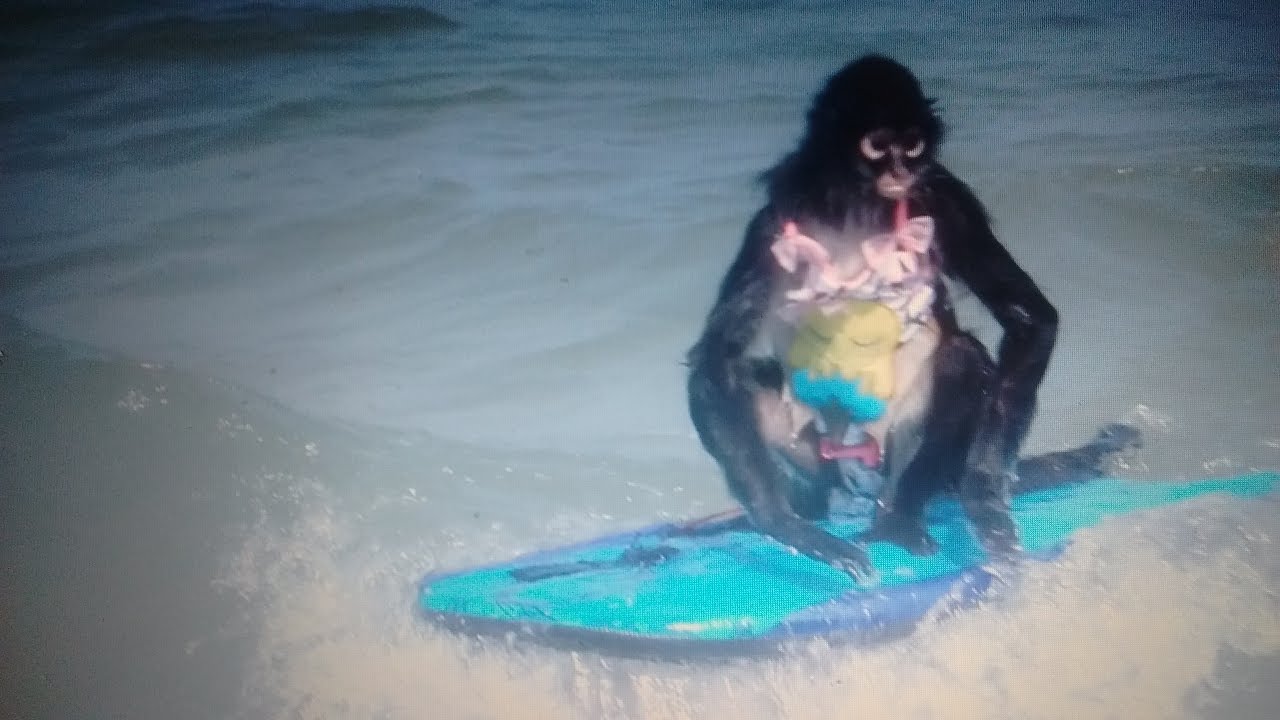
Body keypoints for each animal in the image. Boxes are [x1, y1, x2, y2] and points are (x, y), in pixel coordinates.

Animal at [686, 55, 1127, 580]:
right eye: (878, 145)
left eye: (913, 145)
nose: (900, 167)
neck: (862, 205)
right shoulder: (775, 219)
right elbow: (717, 356)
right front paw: (784, 526)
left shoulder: (945, 198)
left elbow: (1029, 317)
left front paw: (985, 502)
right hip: (820, 465)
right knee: (749, 375)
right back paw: (808, 513)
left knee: (962, 356)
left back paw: (900, 517)